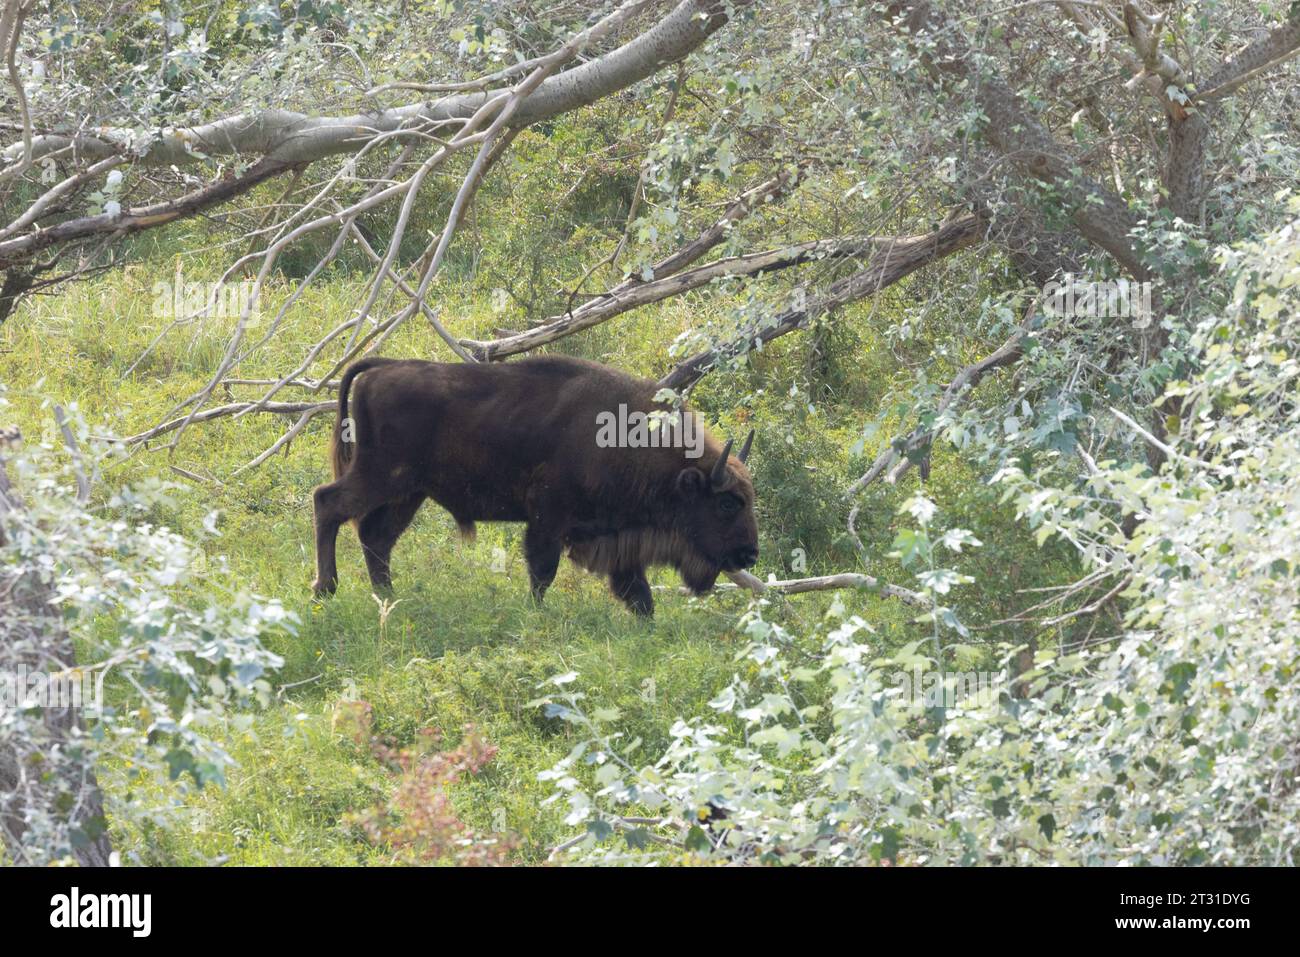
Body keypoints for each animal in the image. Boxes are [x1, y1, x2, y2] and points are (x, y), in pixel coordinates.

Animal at [311, 355, 757, 616]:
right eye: (726, 504)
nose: (749, 554)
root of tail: (379, 370)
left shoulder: (617, 537)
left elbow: (638, 591)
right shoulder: (547, 520)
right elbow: (543, 572)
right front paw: (538, 613)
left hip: (408, 493)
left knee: (376, 537)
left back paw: (388, 596)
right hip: (381, 477)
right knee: (328, 503)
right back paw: (325, 589)